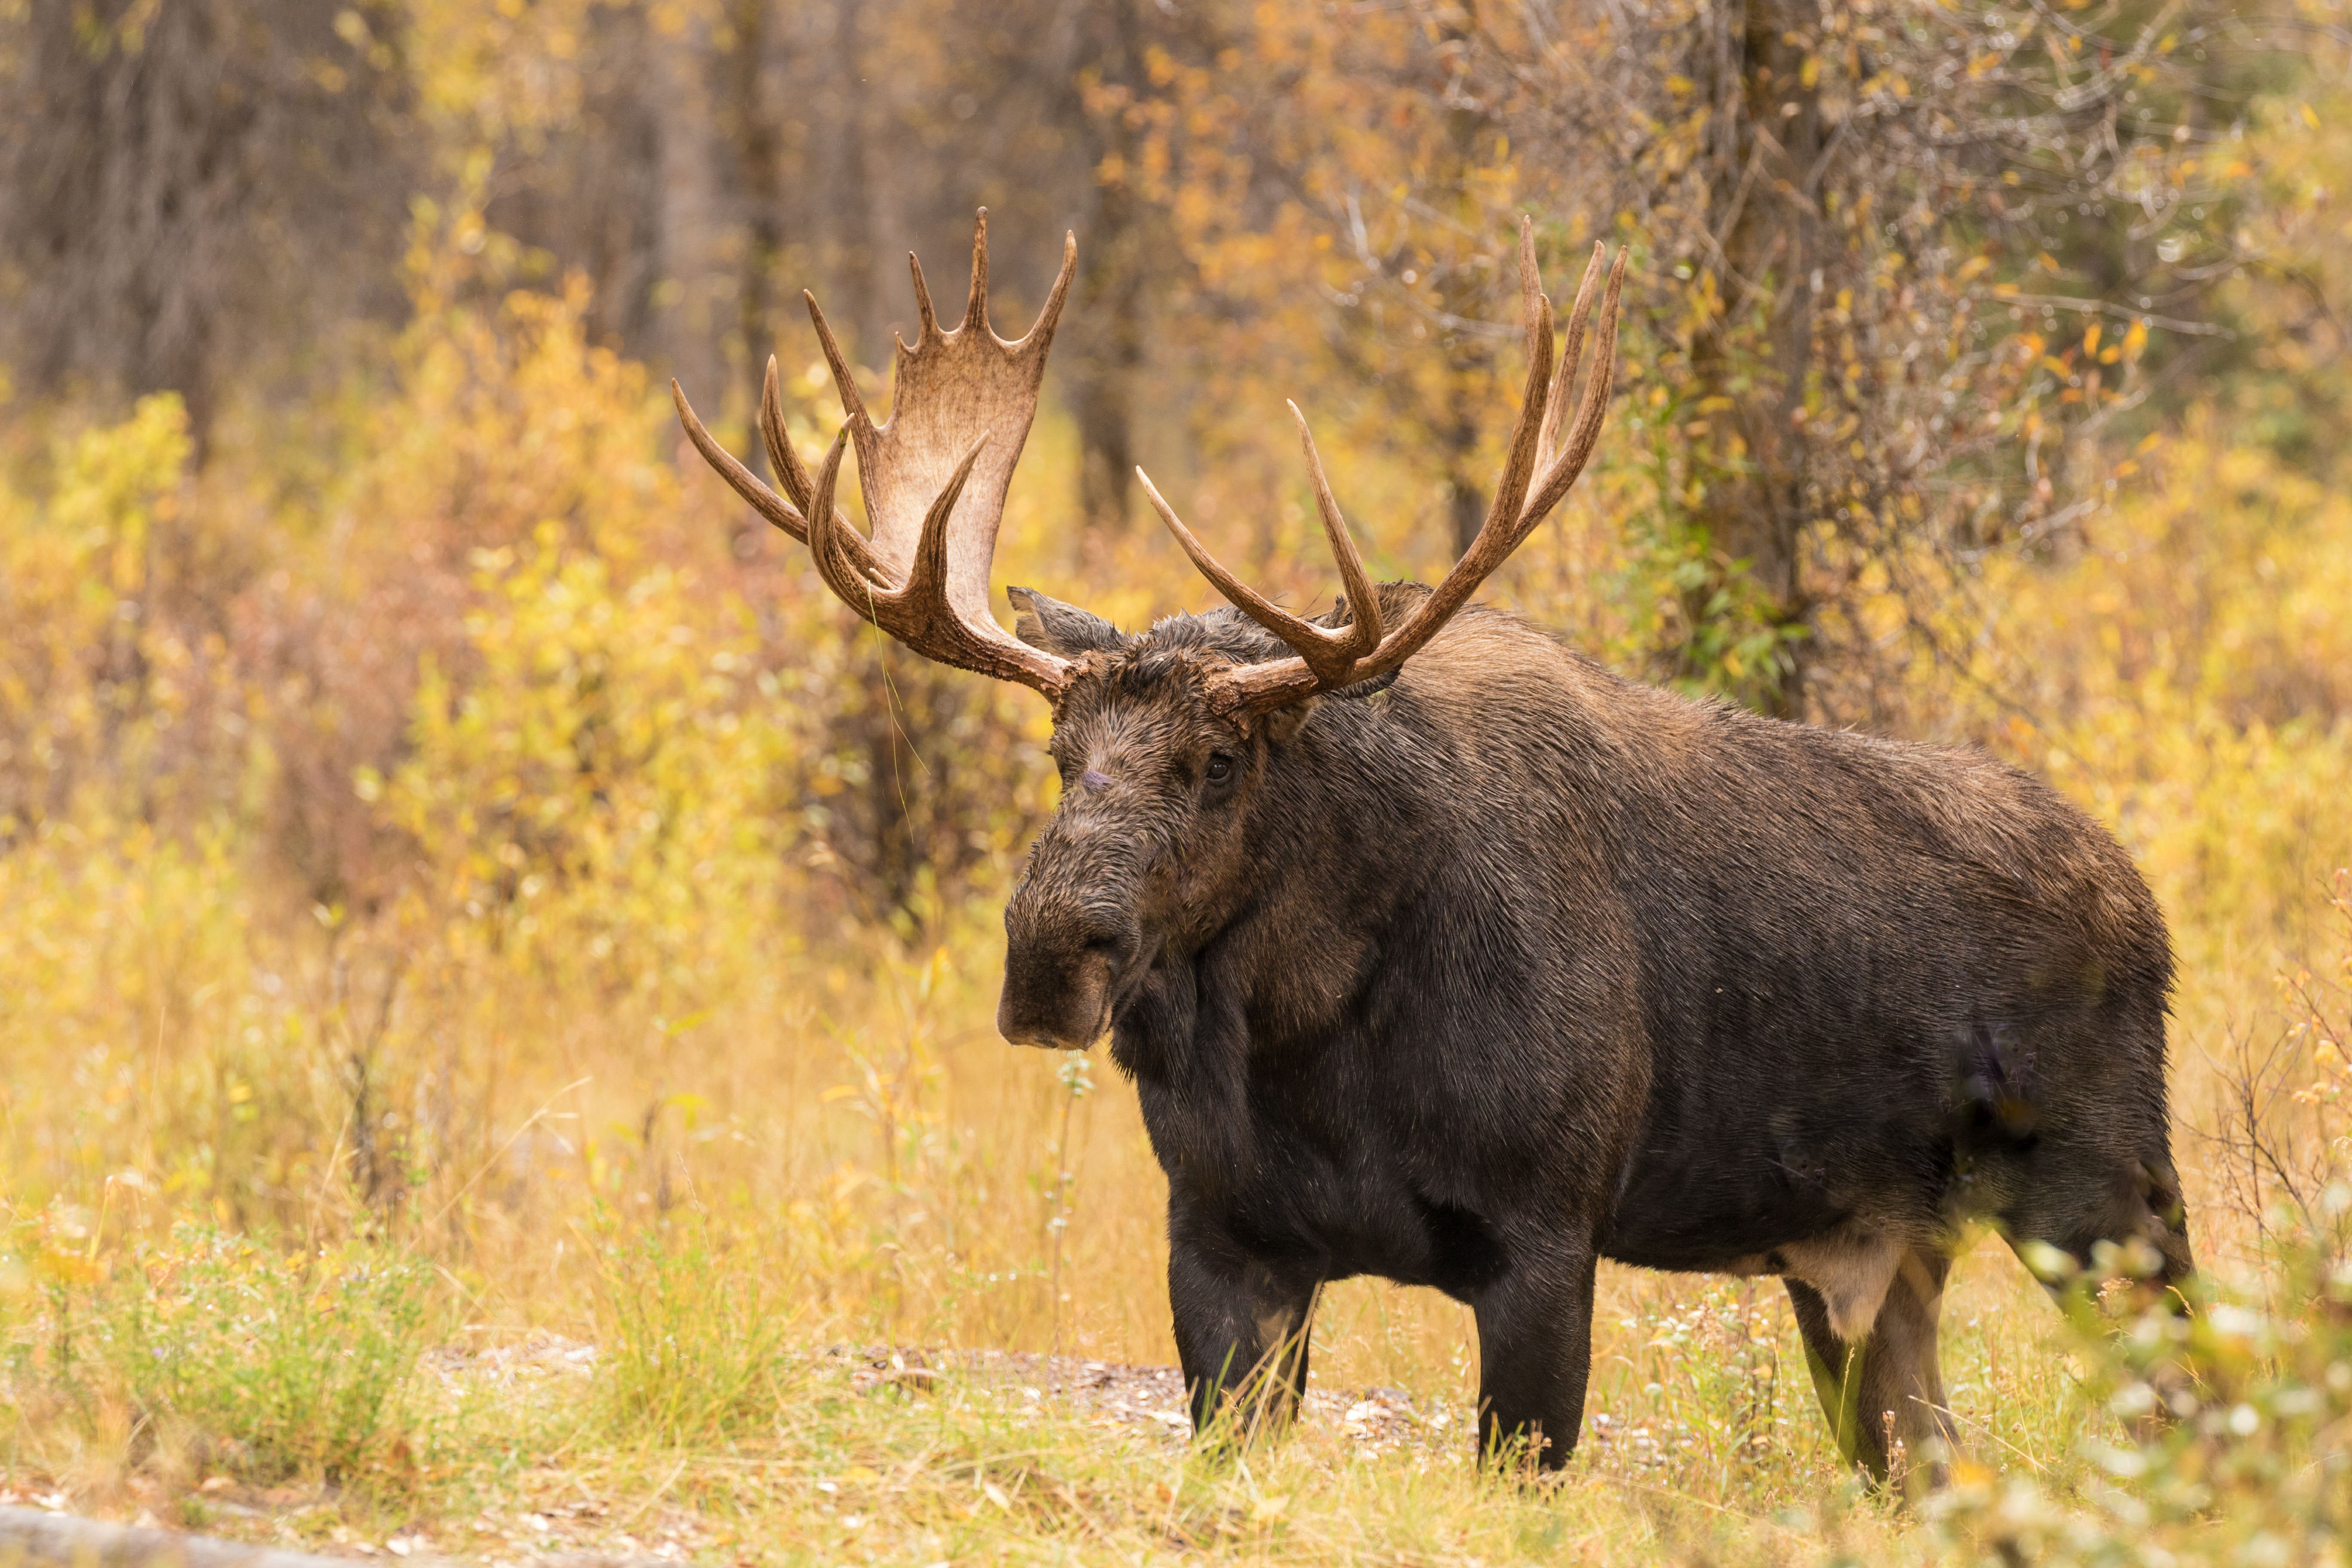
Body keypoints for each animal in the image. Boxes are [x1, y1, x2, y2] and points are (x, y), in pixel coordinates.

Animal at [672, 212, 2195, 1479]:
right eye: (1058, 757)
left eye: (1218, 762)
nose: (1052, 955)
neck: (1308, 1045)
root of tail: (2148, 907)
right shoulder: (1223, 1240)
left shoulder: (1546, 1239)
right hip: (1869, 1260)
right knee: (1929, 1463)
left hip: (2112, 1201)